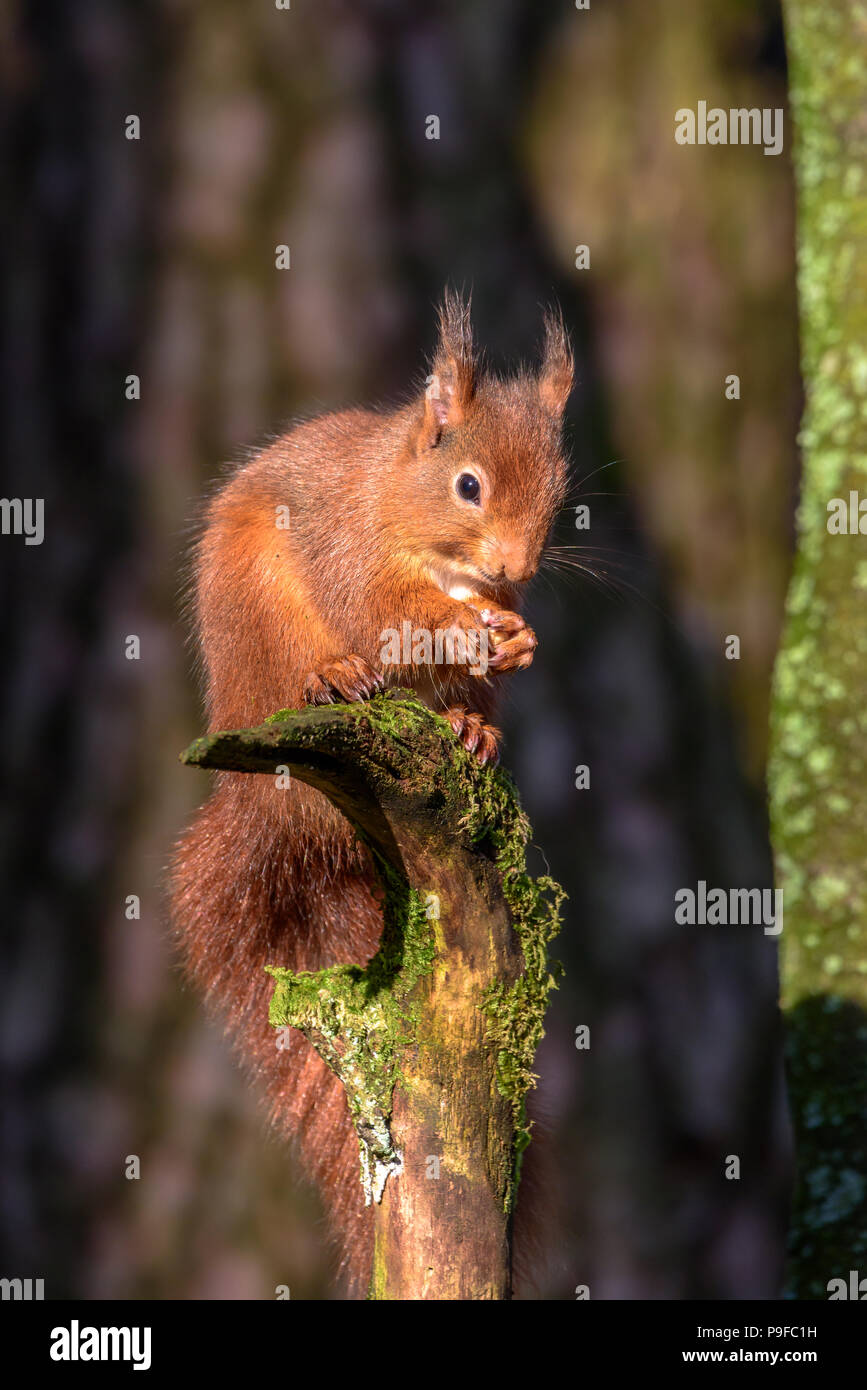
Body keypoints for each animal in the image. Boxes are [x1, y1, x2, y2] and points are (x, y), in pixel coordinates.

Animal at [170, 292, 573, 1296]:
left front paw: (512, 641)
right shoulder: (349, 551)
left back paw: (472, 730)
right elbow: (385, 610)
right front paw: (467, 629)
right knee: (322, 662)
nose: (515, 569)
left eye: (561, 485)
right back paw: (337, 678)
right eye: (467, 485)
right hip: (264, 626)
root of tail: (282, 815)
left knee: (458, 711)